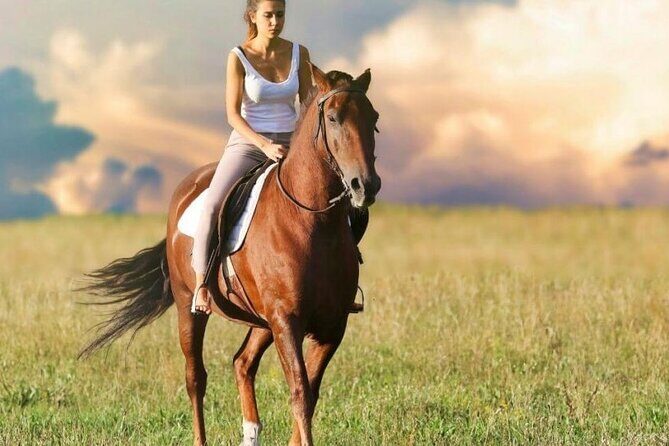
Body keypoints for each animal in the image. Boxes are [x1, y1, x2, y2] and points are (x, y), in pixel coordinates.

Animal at [77, 64, 381, 446]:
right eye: (333, 118)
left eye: (374, 118)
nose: (365, 185)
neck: (312, 221)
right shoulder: (287, 321)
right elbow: (299, 392)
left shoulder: (331, 325)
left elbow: (309, 394)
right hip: (190, 308)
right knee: (196, 377)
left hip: (260, 320)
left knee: (242, 362)